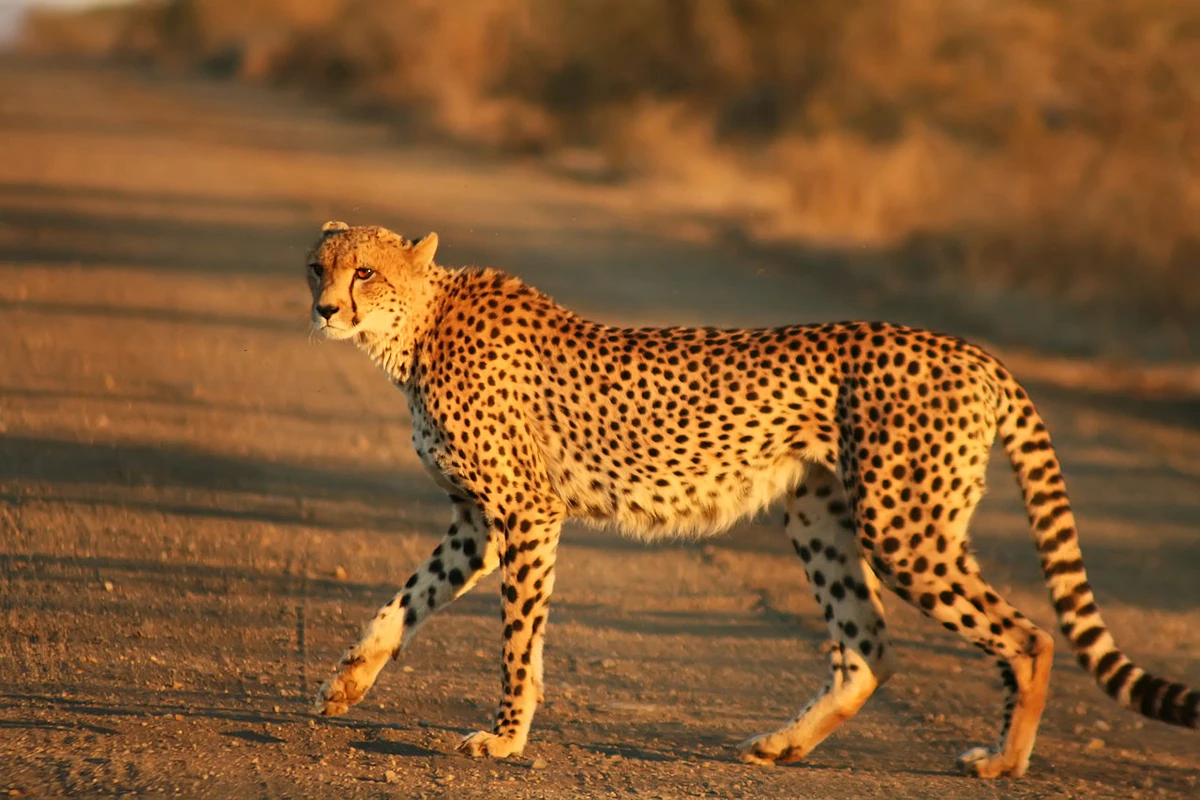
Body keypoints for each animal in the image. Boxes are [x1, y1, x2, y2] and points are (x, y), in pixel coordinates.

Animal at [306, 221, 1197, 778]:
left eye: (365, 273)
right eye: (320, 266)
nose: (323, 309)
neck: (416, 328)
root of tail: (970, 348)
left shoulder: (525, 513)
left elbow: (519, 639)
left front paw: (504, 738)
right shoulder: (476, 523)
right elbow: (406, 600)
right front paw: (347, 683)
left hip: (903, 528)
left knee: (1030, 636)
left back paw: (1005, 760)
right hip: (821, 516)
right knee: (868, 648)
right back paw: (785, 745)